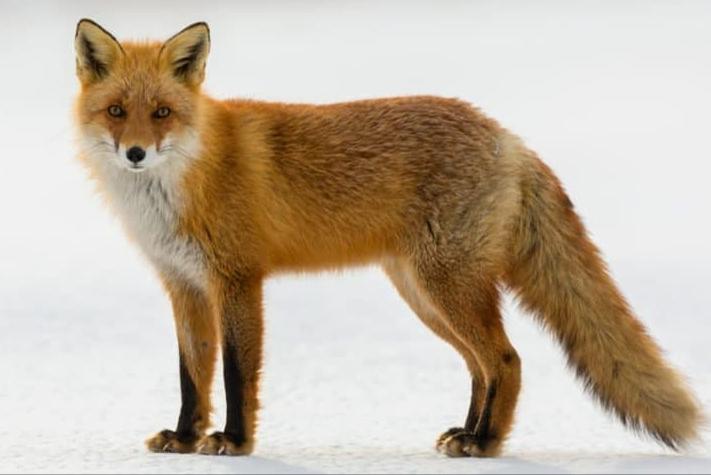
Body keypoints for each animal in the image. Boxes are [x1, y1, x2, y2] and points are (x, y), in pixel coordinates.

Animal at [73, 18, 702, 457]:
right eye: (116, 111)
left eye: (162, 112)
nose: (135, 153)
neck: (183, 181)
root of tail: (507, 135)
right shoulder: (182, 284)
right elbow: (192, 375)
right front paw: (184, 439)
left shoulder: (237, 280)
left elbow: (233, 372)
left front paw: (234, 442)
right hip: (424, 295)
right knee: (482, 367)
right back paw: (468, 433)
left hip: (445, 286)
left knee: (508, 359)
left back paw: (485, 444)